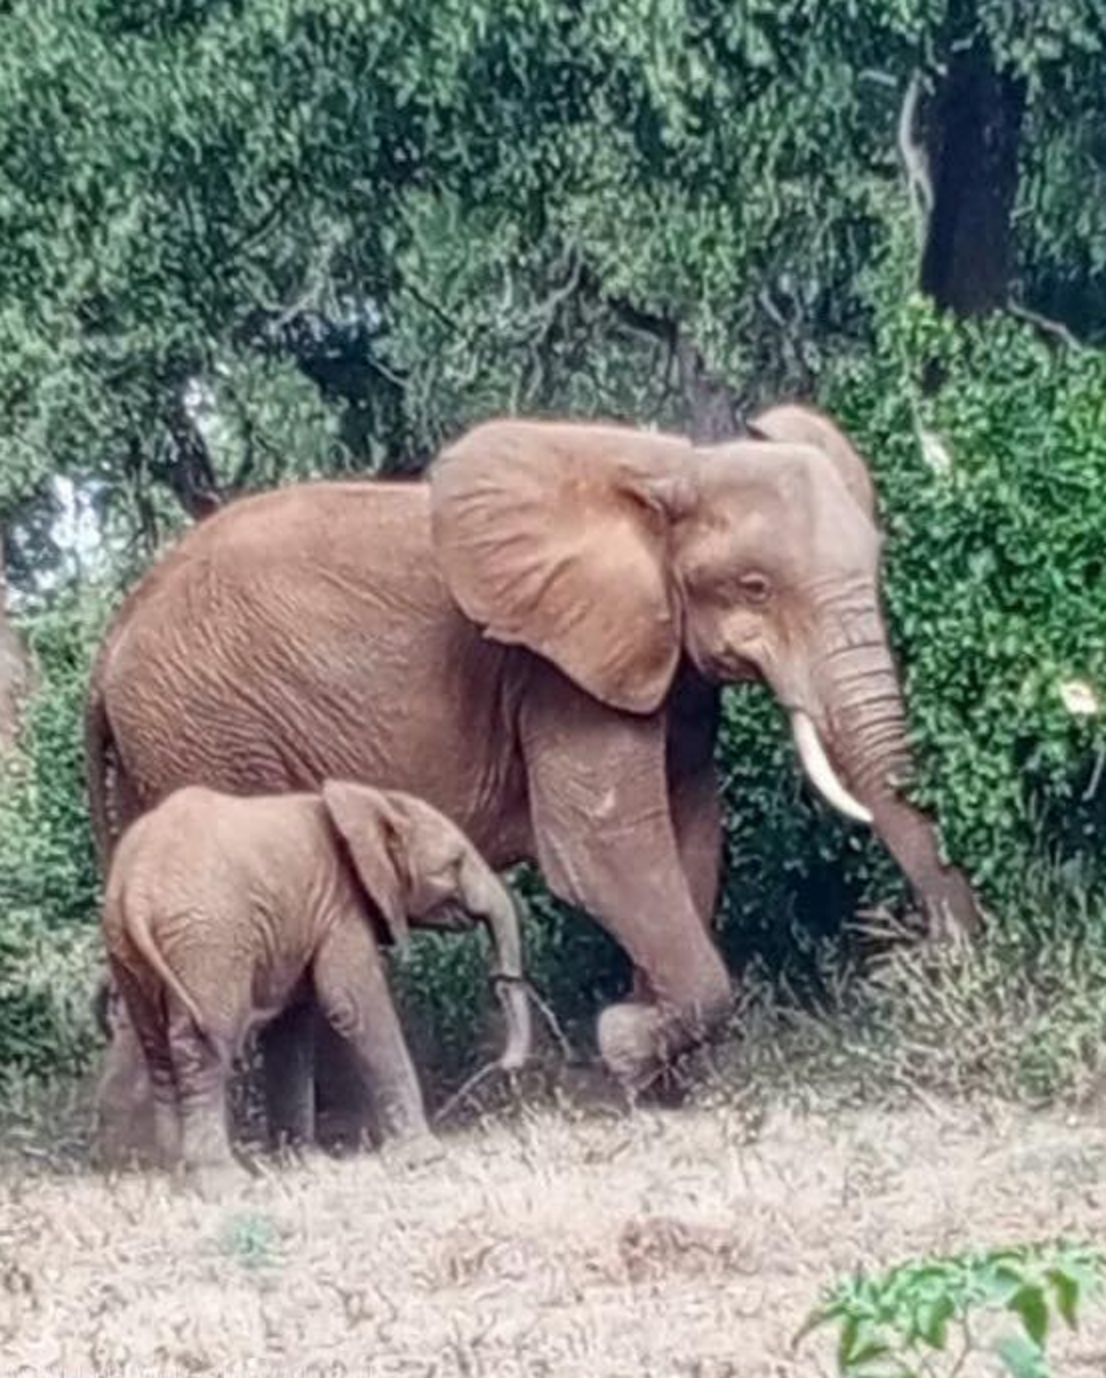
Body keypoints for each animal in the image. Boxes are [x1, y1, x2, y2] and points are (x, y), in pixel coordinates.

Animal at [86, 403, 979, 1138]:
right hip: (207, 734)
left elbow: (691, 833)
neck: (679, 469)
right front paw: (625, 1047)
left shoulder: (659, 661)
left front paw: (658, 1079)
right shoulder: (555, 673)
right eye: (756, 586)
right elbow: (600, 850)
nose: (926, 961)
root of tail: (109, 645)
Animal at [99, 780, 532, 1182]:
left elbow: (291, 1025)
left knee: (155, 1044)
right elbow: (353, 1004)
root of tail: (137, 887)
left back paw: (176, 1170)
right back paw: (224, 1183)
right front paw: (426, 1158)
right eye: (455, 862)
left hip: (129, 949)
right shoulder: (340, 906)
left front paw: (306, 1164)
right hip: (208, 941)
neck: (370, 801)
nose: (504, 1064)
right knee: (200, 1041)